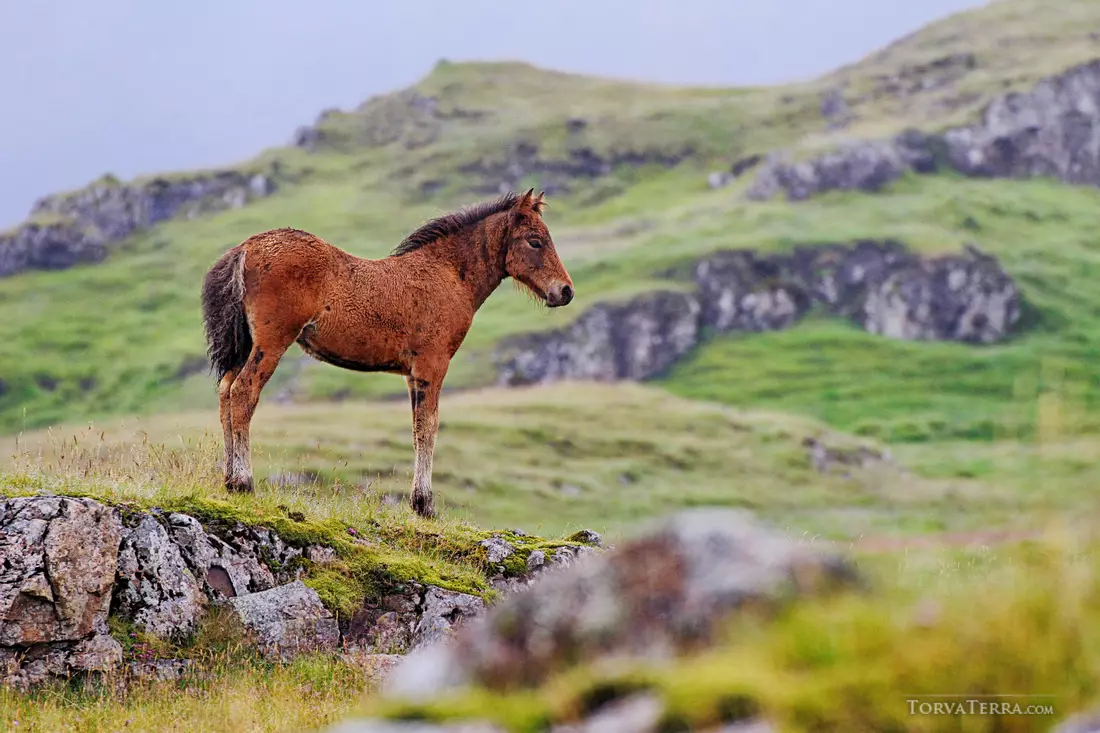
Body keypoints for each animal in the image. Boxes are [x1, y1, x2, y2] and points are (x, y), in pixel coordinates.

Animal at [200, 189, 576, 519]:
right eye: (535, 240)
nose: (566, 291)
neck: (448, 274)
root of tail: (244, 248)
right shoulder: (432, 364)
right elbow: (428, 427)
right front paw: (424, 505)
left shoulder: (412, 374)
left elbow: (415, 427)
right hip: (272, 341)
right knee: (244, 392)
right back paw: (244, 483)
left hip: (244, 346)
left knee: (225, 393)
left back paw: (229, 481)